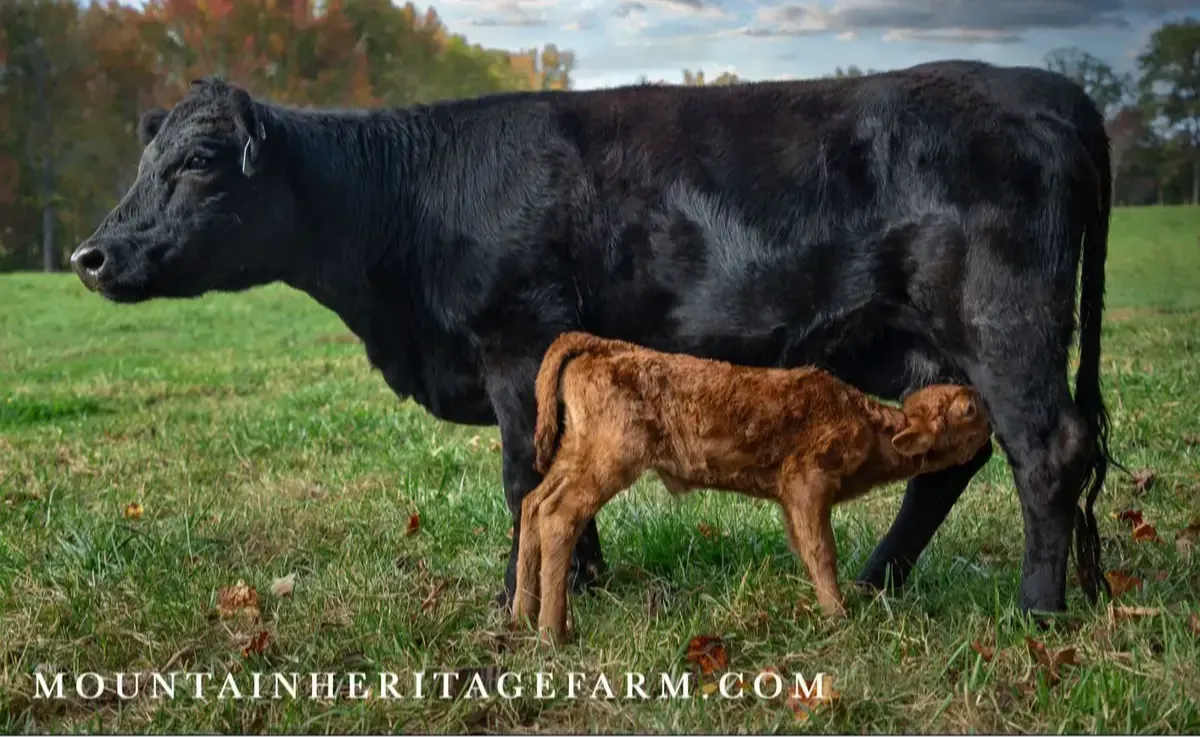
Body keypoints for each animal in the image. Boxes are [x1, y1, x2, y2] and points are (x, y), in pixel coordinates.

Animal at [69, 60, 1116, 616]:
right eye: (146, 159)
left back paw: (1036, 609)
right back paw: (876, 582)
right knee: (957, 458)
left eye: (199, 161)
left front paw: (514, 600)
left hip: (1005, 321)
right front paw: (584, 581)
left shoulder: (517, 344)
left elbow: (521, 475)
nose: (90, 254)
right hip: (926, 346)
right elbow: (556, 472)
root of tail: (1045, 86)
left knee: (1048, 449)